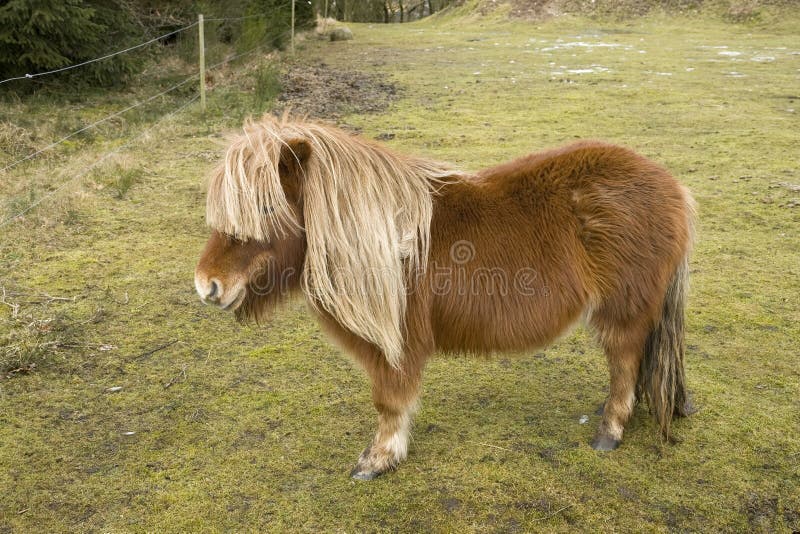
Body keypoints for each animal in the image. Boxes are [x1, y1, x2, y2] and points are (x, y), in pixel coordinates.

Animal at [194, 114, 696, 480]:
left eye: (265, 208)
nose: (206, 285)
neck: (385, 239)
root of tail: (672, 186)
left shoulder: (395, 346)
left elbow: (389, 403)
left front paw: (378, 459)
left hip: (622, 314)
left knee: (625, 366)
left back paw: (610, 430)